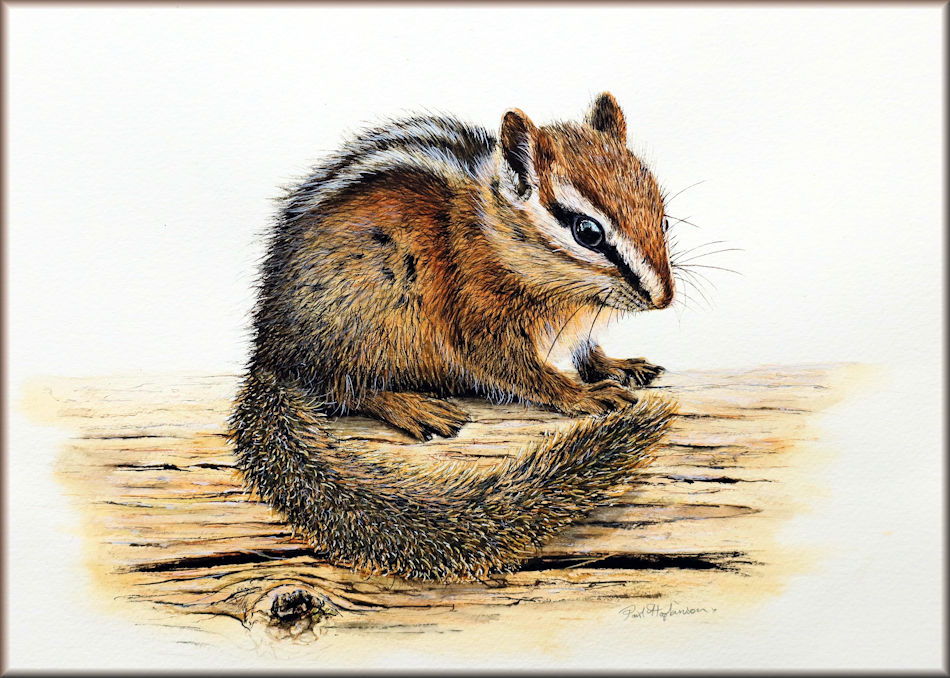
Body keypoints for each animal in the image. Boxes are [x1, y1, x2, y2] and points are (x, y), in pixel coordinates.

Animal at [229, 92, 677, 581]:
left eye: (662, 216)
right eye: (588, 232)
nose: (664, 298)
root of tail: (270, 352)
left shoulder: (576, 329)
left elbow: (587, 352)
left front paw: (616, 366)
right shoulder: (478, 320)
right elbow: (521, 372)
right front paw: (581, 395)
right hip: (364, 320)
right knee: (345, 387)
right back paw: (408, 405)